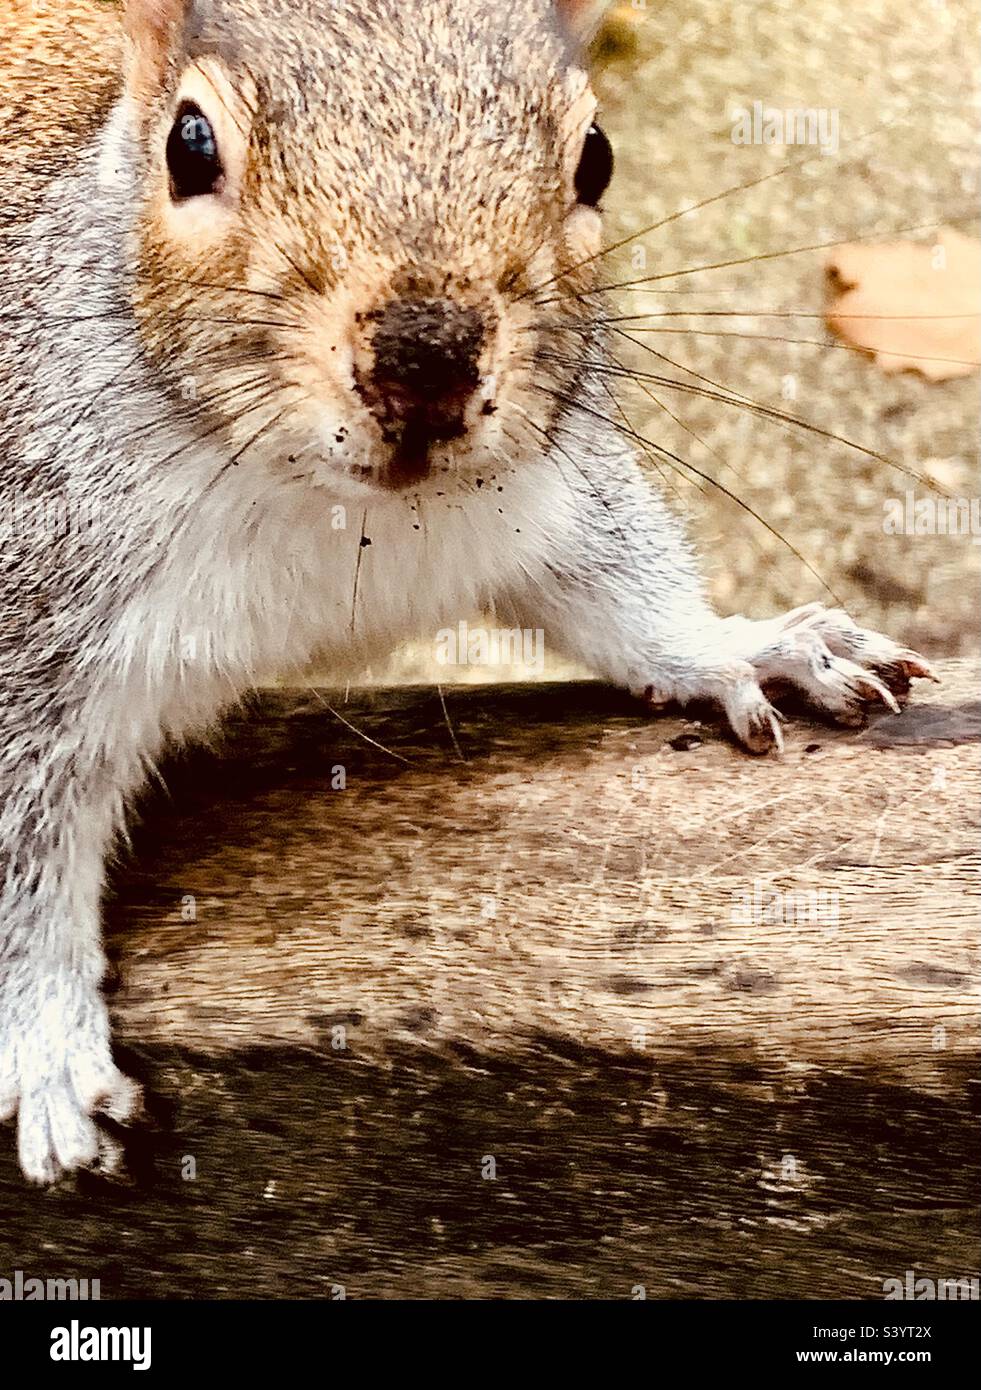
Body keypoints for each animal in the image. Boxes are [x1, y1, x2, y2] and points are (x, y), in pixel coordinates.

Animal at [0, 0, 935, 1184]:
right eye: (189, 145)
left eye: (596, 155)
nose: (426, 356)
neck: (326, 508)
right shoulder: (34, 607)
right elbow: (21, 858)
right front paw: (46, 1041)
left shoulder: (547, 495)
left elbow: (624, 595)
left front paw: (743, 646)